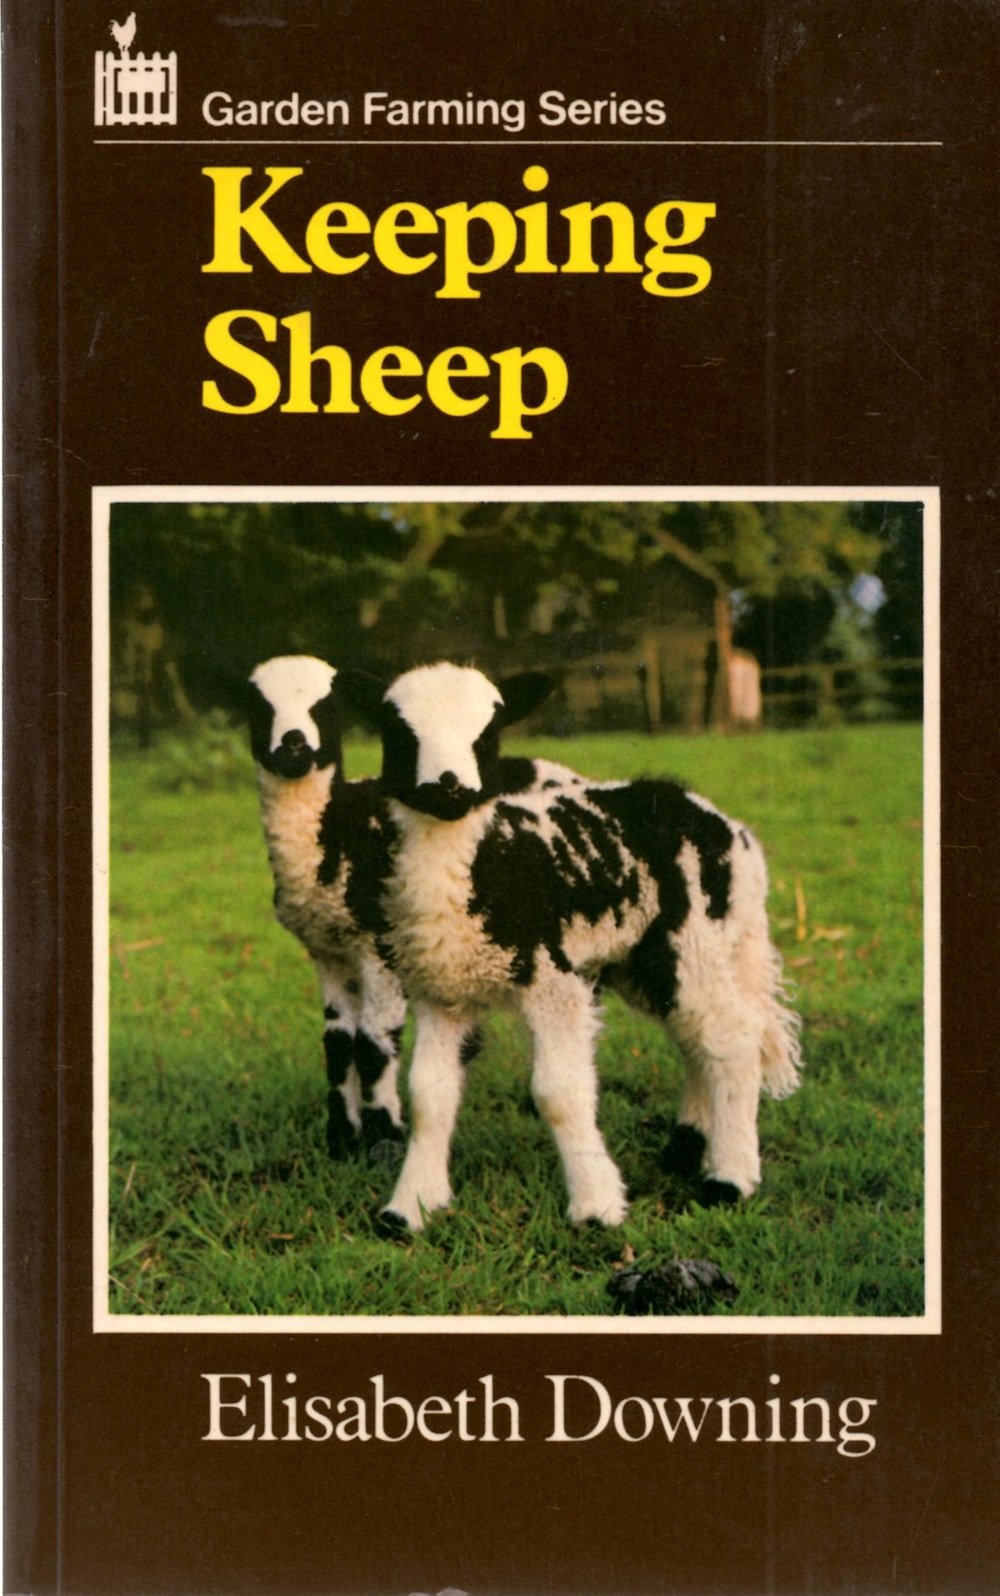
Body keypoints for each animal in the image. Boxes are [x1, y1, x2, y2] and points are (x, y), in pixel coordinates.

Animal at [248, 654, 588, 1161]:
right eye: (257, 706)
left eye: (325, 708)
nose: (293, 746)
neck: (337, 830)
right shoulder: (327, 951)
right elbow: (337, 1042)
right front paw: (340, 1139)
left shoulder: (378, 947)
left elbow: (373, 1041)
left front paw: (383, 1138)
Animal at [339, 661, 802, 1232]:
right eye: (398, 732)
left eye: (488, 735)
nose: (448, 787)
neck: (487, 861)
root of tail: (727, 826)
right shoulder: (442, 991)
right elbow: (429, 1094)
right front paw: (409, 1208)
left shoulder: (554, 979)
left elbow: (558, 1092)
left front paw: (596, 1205)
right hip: (645, 960)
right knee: (697, 1040)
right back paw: (685, 1149)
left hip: (697, 938)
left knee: (731, 1040)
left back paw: (728, 1178)